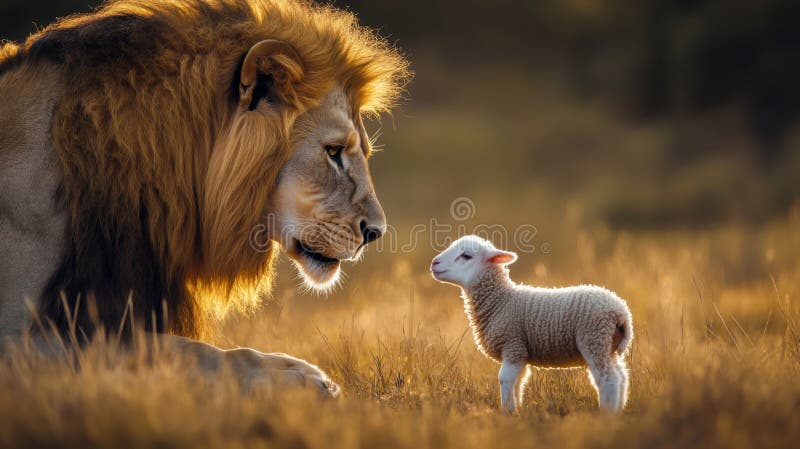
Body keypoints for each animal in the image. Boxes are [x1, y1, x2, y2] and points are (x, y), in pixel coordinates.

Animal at [430, 235, 633, 413]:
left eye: (466, 256)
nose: (434, 263)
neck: (500, 301)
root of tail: (621, 312)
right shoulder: (520, 352)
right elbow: (518, 382)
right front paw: (516, 410)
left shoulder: (512, 345)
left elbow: (504, 380)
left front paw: (506, 411)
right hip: (609, 346)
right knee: (622, 376)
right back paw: (619, 409)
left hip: (594, 338)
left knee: (608, 379)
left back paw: (607, 413)